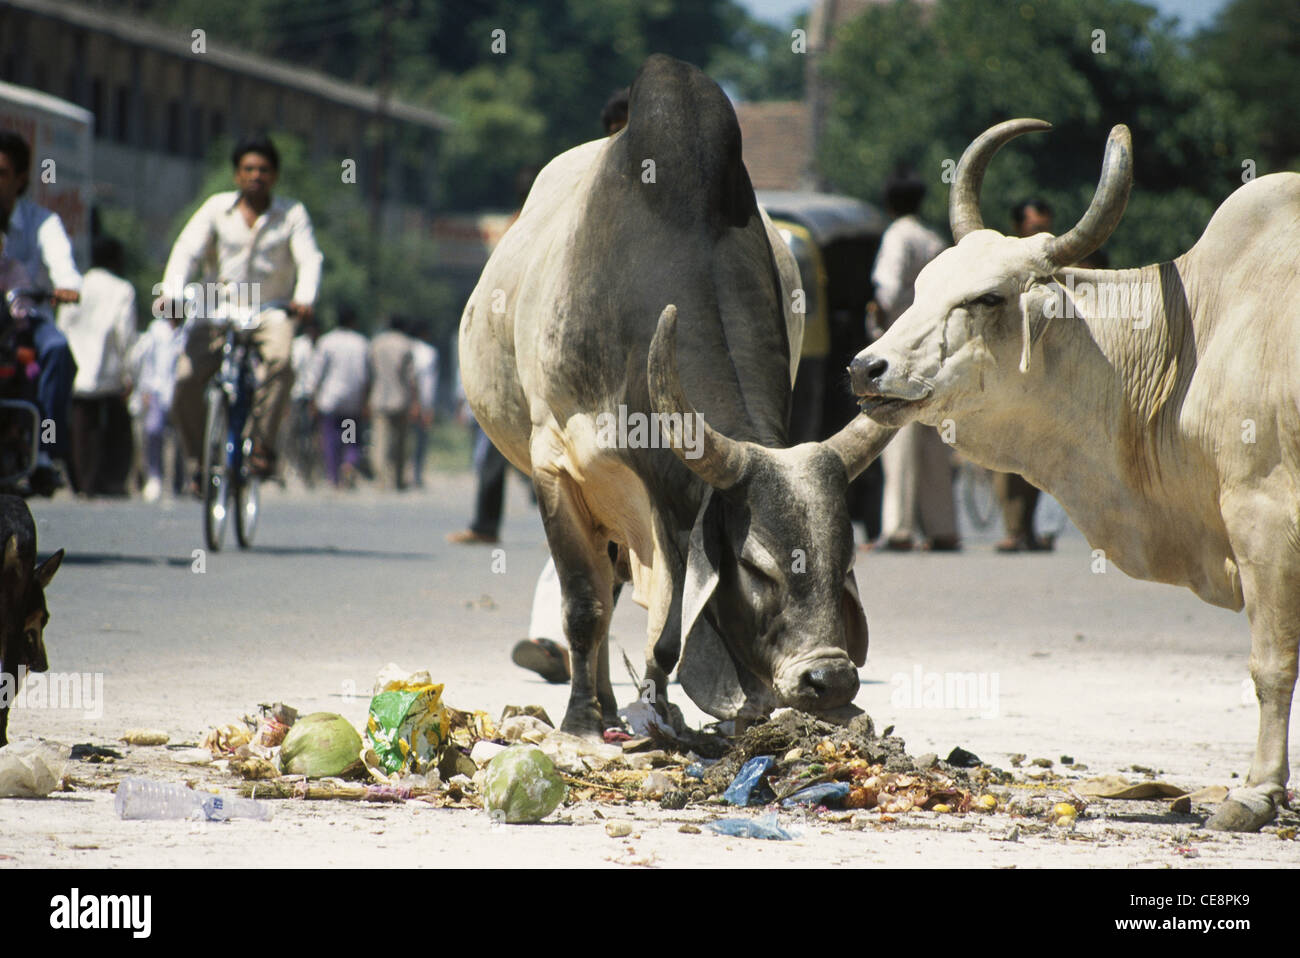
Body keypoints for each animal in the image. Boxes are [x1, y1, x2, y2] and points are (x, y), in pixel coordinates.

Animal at [459, 55, 893, 737]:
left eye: (845, 560)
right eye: (757, 568)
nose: (829, 679)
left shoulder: (671, 510)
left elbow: (666, 631)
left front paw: (664, 713)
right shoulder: (555, 468)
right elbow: (584, 605)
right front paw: (581, 721)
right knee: (600, 600)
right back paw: (601, 706)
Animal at [848, 117, 1300, 831]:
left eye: (988, 297)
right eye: (919, 287)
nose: (868, 368)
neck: (1195, 340)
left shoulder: (1264, 512)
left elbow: (1271, 664)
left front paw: (1256, 793)